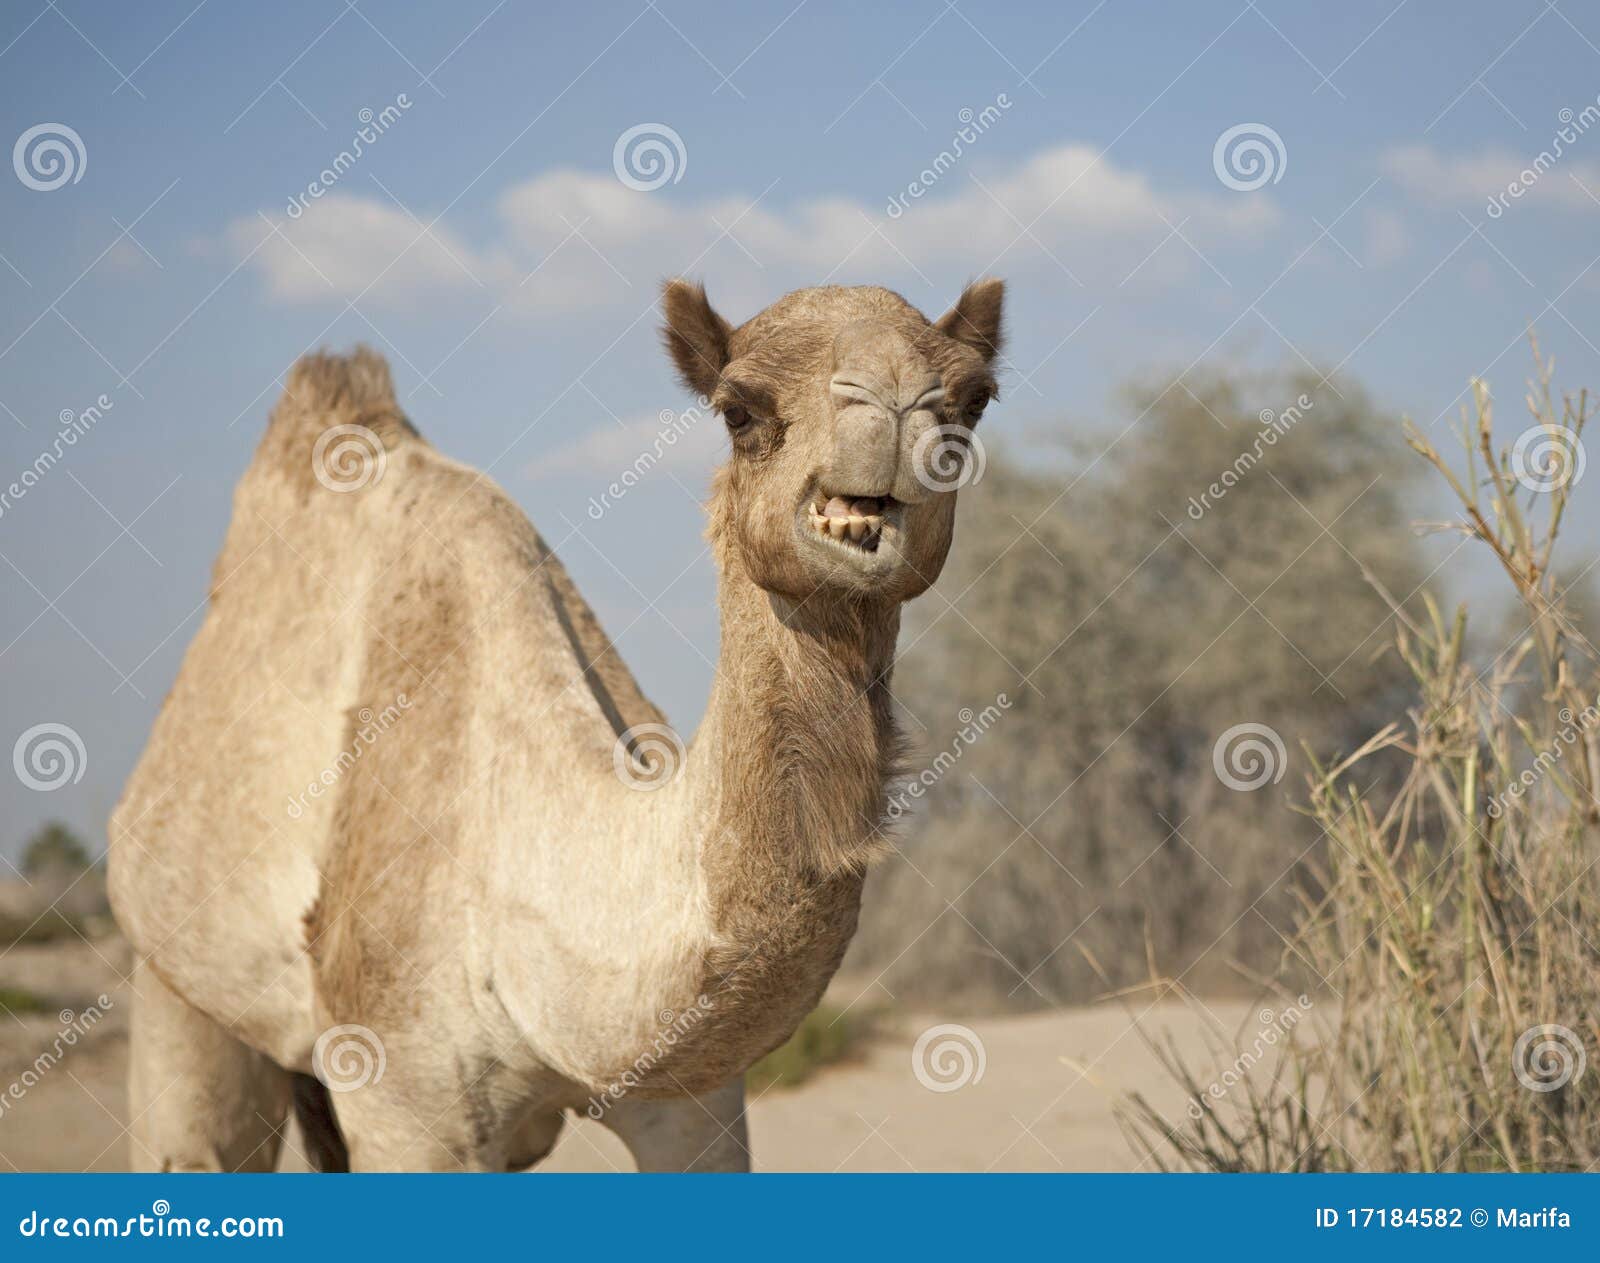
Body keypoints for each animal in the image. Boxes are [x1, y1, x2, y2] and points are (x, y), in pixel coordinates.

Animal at [107, 278, 1005, 1172]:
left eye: (972, 401)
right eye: (739, 410)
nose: (894, 404)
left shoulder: (695, 1101)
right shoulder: (405, 1104)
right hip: (174, 975)